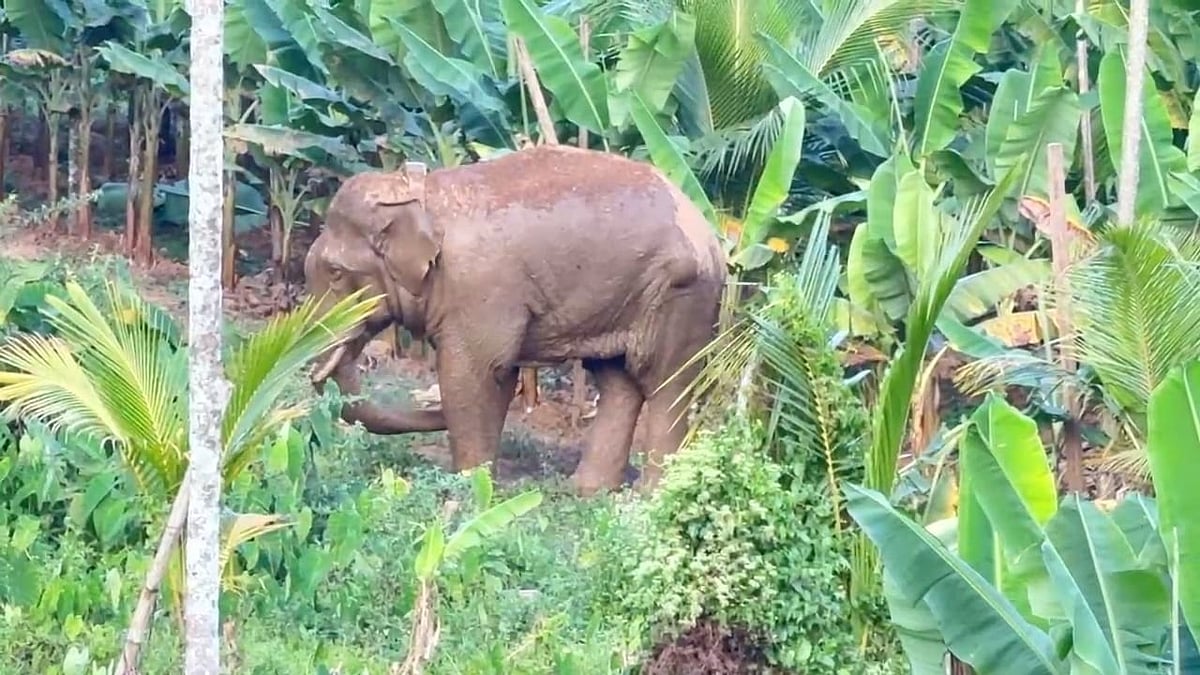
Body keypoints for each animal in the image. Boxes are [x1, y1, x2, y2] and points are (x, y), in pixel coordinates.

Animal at [304, 144, 727, 495]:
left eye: (336, 273)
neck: (420, 196)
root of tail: (710, 233)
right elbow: (494, 377)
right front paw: (482, 480)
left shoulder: (480, 289)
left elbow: (473, 375)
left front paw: (468, 489)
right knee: (617, 380)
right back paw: (587, 491)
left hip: (679, 294)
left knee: (666, 384)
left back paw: (651, 496)